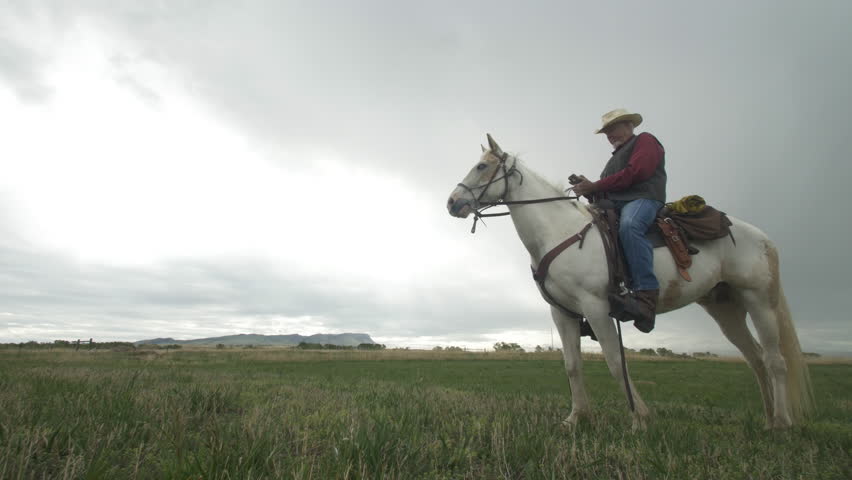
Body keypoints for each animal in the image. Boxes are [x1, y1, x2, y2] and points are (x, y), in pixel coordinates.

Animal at [446, 134, 813, 429]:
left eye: (481, 166)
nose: (452, 203)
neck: (560, 232)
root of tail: (763, 238)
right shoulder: (562, 313)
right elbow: (572, 366)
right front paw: (576, 418)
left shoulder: (596, 307)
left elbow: (613, 362)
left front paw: (639, 418)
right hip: (725, 308)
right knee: (755, 359)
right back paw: (768, 419)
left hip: (759, 300)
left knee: (775, 360)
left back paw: (782, 423)